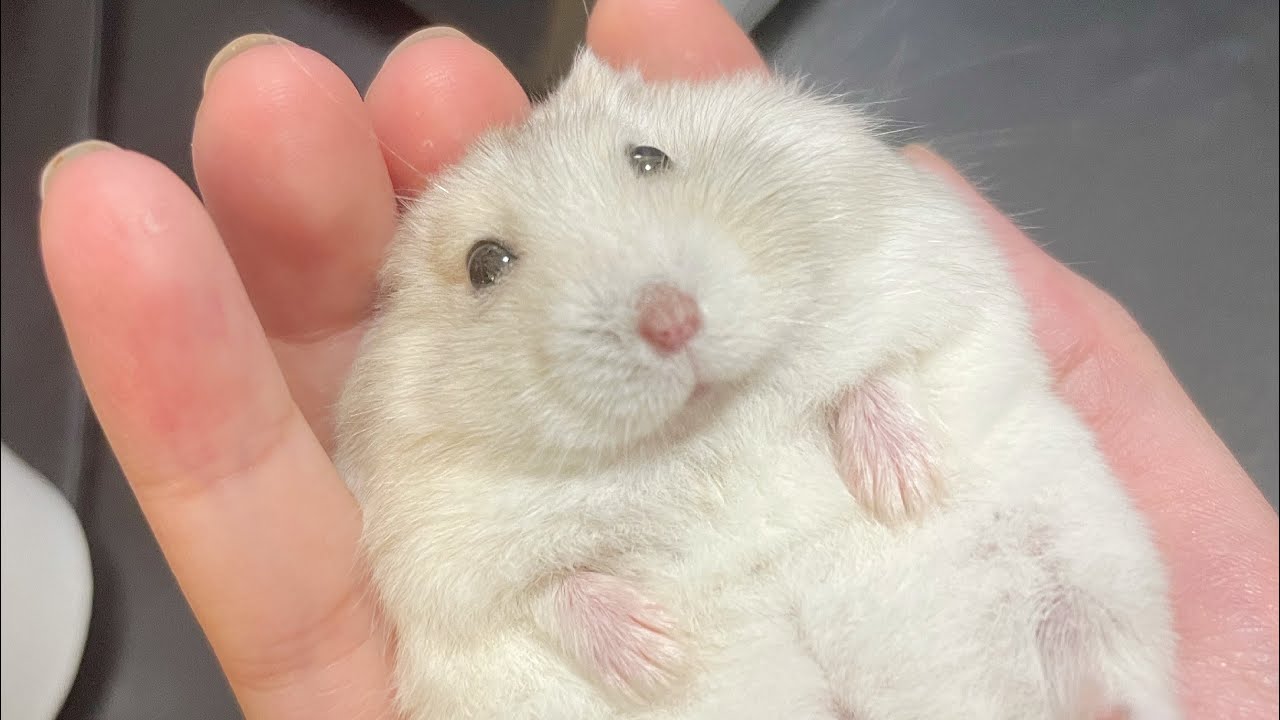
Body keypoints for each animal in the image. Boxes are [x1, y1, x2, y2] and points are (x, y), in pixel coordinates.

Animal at [333, 49, 1180, 720]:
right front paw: (657, 654)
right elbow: (547, 591)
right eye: (485, 265)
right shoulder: (435, 564)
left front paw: (904, 489)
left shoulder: (927, 275)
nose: (672, 321)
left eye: (650, 158)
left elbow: (884, 373)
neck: (710, 420)